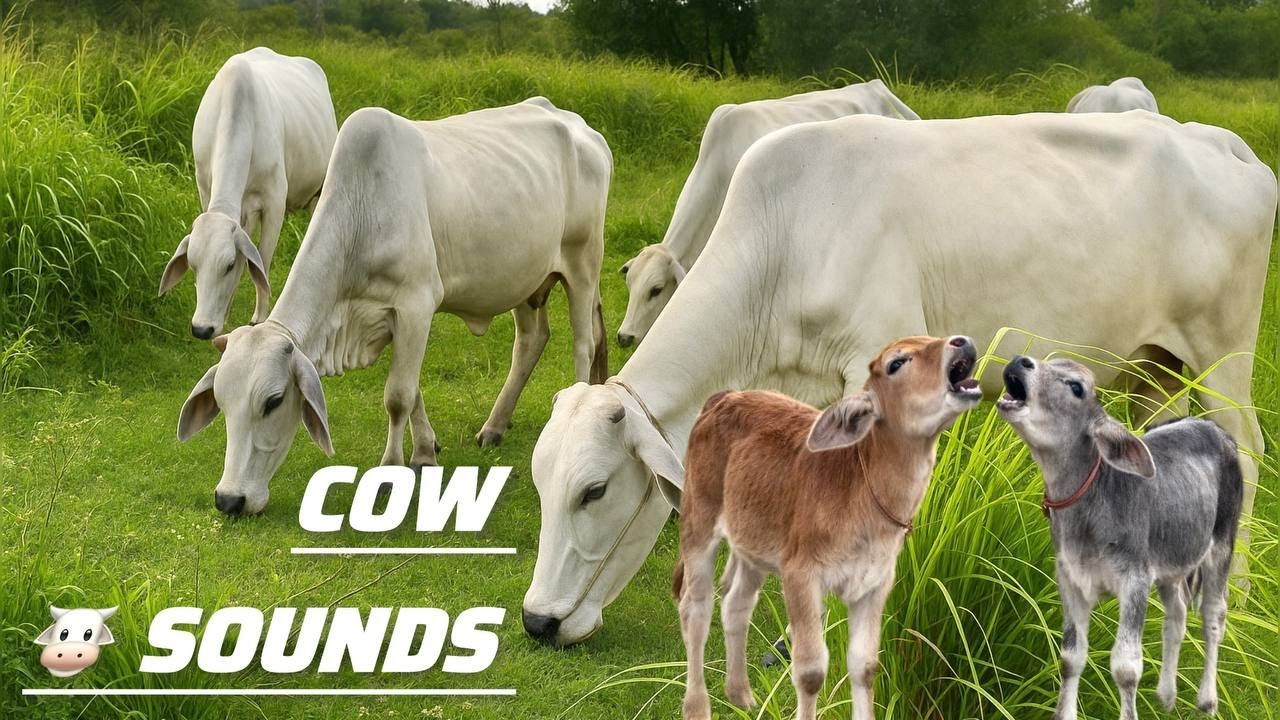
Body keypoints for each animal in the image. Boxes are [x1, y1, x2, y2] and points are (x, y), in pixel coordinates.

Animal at [161, 47, 338, 339]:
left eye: (228, 265)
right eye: (193, 265)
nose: (202, 329)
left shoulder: (274, 203)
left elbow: (262, 260)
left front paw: (259, 318)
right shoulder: (205, 189)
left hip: (318, 191)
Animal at [176, 98, 612, 515]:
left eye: (273, 402)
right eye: (221, 402)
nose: (229, 499)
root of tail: (581, 127)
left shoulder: (417, 304)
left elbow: (398, 395)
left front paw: (390, 471)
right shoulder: (392, 319)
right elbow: (413, 387)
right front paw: (425, 452)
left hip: (583, 263)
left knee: (583, 344)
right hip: (523, 279)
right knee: (531, 341)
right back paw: (494, 426)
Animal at [522, 110, 1276, 646]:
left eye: (593, 491)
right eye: (539, 486)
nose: (537, 622)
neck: (785, 245)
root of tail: (1224, 144)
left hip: (1224, 359)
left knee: (1246, 451)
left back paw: (1229, 601)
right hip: (1152, 369)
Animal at [675, 336, 981, 720]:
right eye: (897, 363)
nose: (962, 341)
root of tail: (724, 396)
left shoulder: (876, 583)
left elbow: (864, 666)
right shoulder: (800, 574)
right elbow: (810, 671)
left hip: (753, 542)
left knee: (736, 604)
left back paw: (741, 695)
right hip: (698, 515)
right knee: (695, 607)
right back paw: (697, 706)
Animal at [998, 356, 1241, 720]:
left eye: (1076, 387)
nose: (1020, 361)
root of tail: (1215, 429)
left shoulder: (1134, 580)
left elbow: (1126, 667)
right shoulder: (1071, 579)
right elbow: (1070, 658)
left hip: (1222, 545)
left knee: (1213, 616)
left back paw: (1207, 700)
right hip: (1171, 564)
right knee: (1177, 614)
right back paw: (1166, 695)